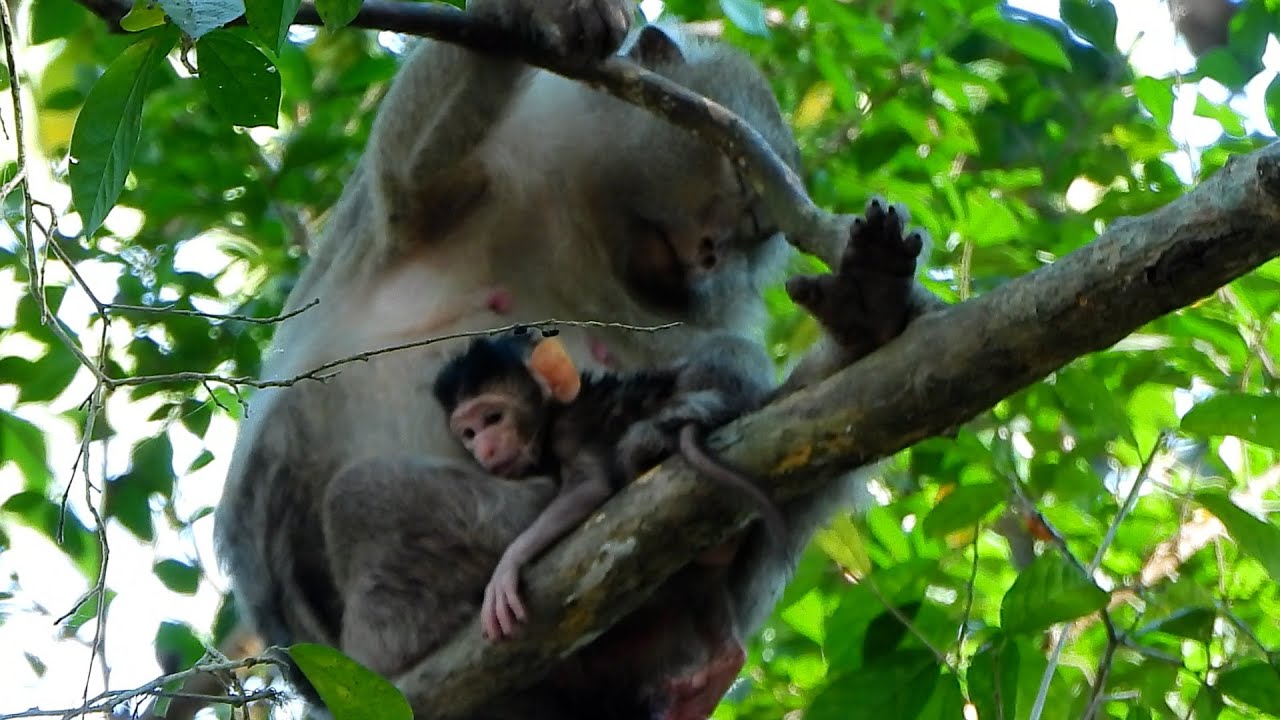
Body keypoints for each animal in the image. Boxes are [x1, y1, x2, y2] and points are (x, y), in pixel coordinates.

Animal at [431, 331, 785, 641]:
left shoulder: (570, 432)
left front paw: (507, 566)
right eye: (469, 433)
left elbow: (590, 488)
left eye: (493, 418)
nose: (484, 450)